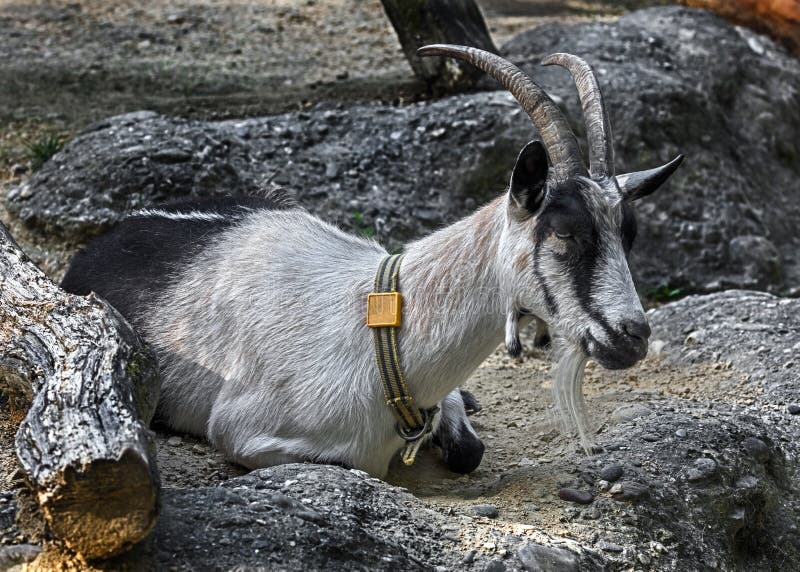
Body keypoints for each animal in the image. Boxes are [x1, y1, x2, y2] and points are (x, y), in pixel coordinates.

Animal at [61, 46, 682, 478]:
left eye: (628, 234)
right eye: (564, 232)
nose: (632, 336)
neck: (384, 337)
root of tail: (109, 235)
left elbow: (469, 450)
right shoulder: (240, 429)